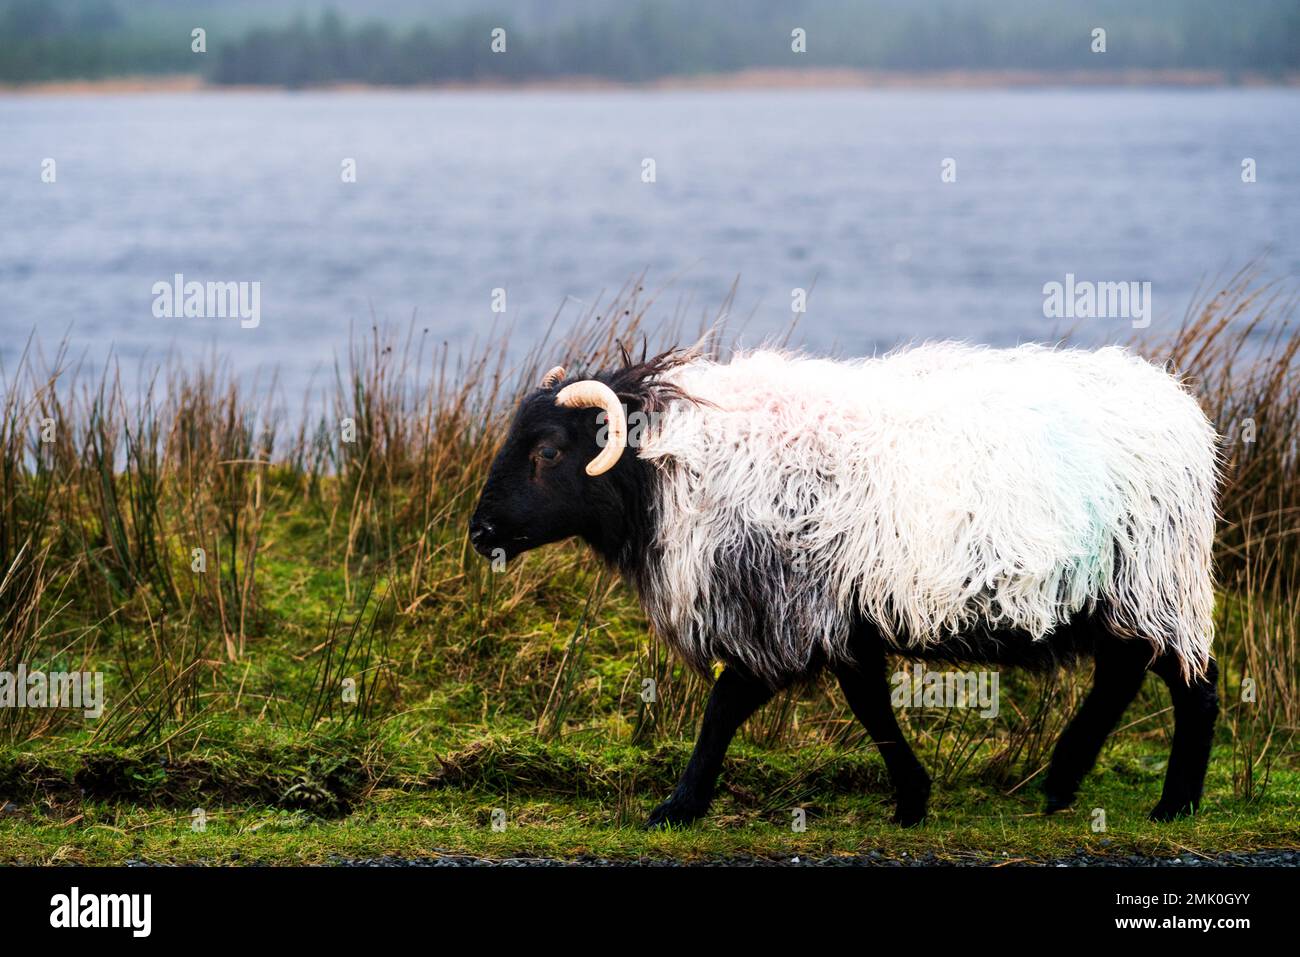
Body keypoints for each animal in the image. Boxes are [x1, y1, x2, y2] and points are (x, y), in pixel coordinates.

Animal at [469, 342, 1221, 827]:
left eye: (548, 452)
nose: (480, 533)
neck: (672, 472)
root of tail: (1181, 409)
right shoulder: (833, 612)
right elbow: (868, 704)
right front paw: (913, 798)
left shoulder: (788, 609)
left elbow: (729, 705)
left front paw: (677, 807)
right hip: (1119, 592)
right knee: (1123, 671)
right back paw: (1064, 780)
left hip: (1156, 578)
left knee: (1194, 684)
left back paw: (1174, 803)